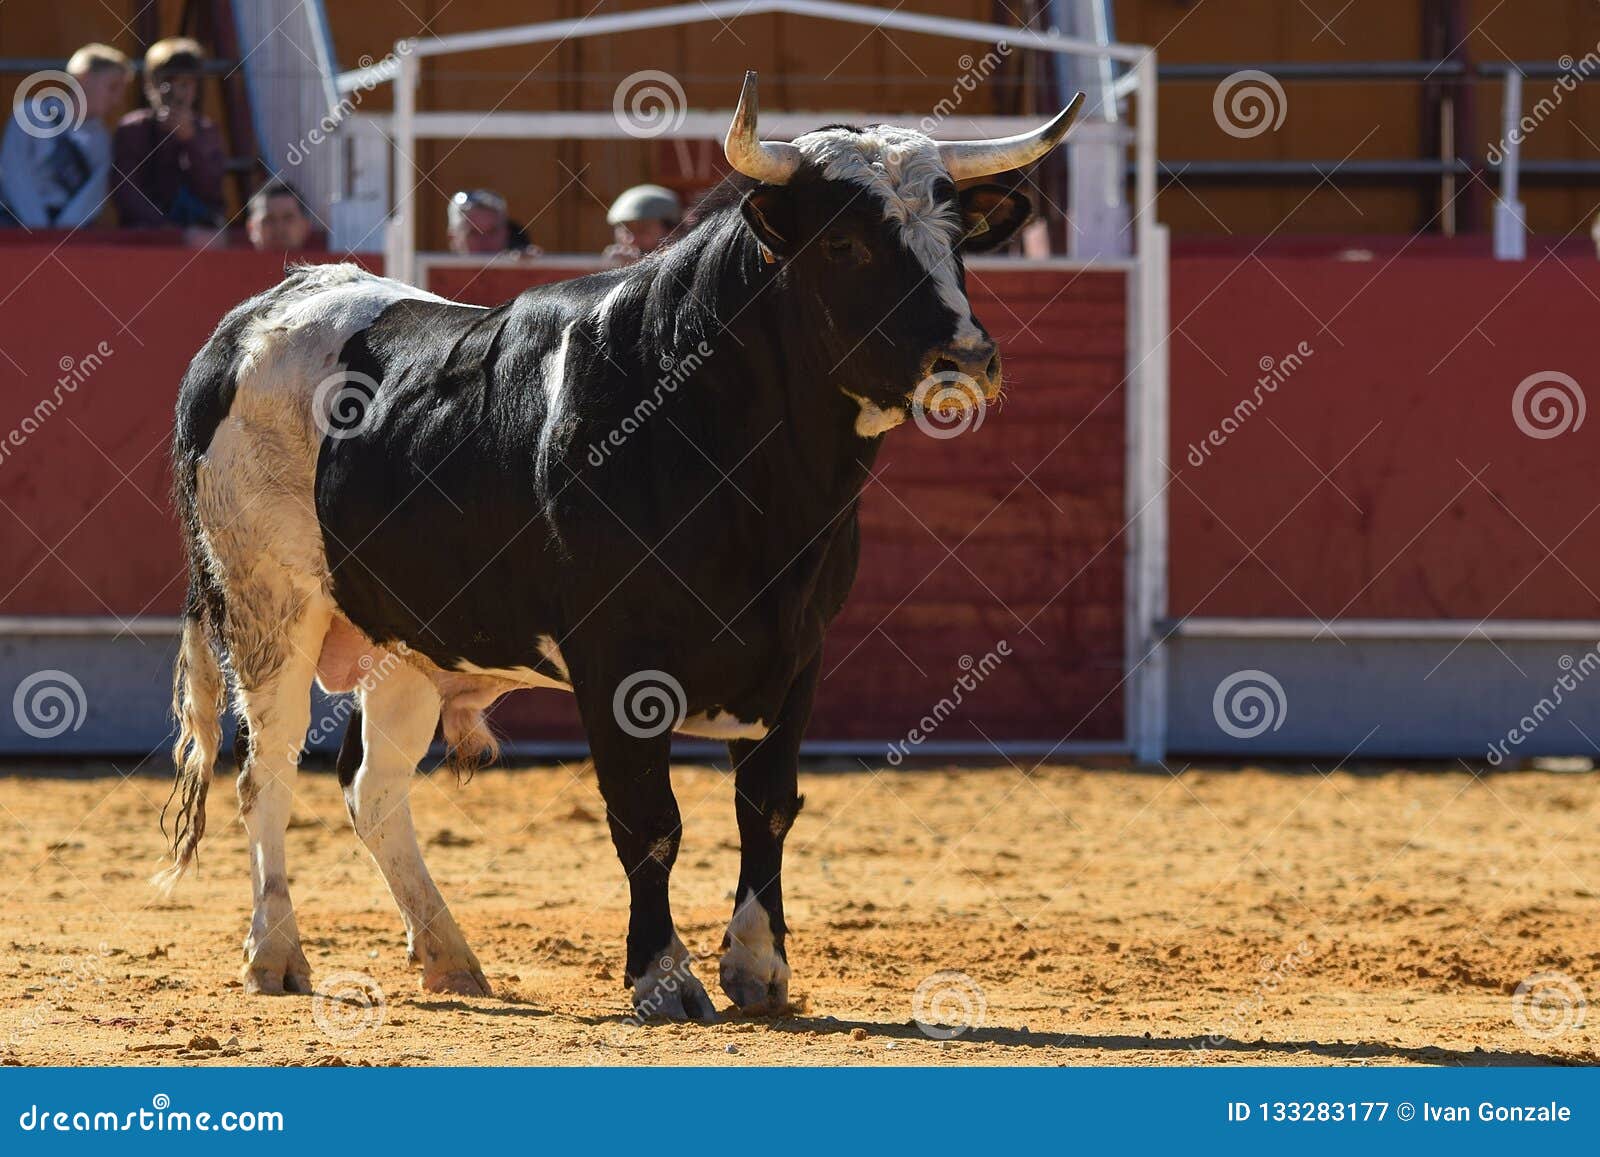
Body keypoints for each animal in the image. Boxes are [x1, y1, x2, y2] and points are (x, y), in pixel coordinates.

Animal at [156, 72, 1083, 1020]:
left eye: (956, 240)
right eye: (847, 243)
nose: (966, 354)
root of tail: (261, 313)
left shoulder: (800, 652)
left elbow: (766, 804)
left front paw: (760, 966)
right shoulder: (617, 663)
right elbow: (649, 819)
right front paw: (663, 975)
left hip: (405, 646)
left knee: (372, 791)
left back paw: (451, 956)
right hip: (268, 611)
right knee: (267, 772)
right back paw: (276, 953)